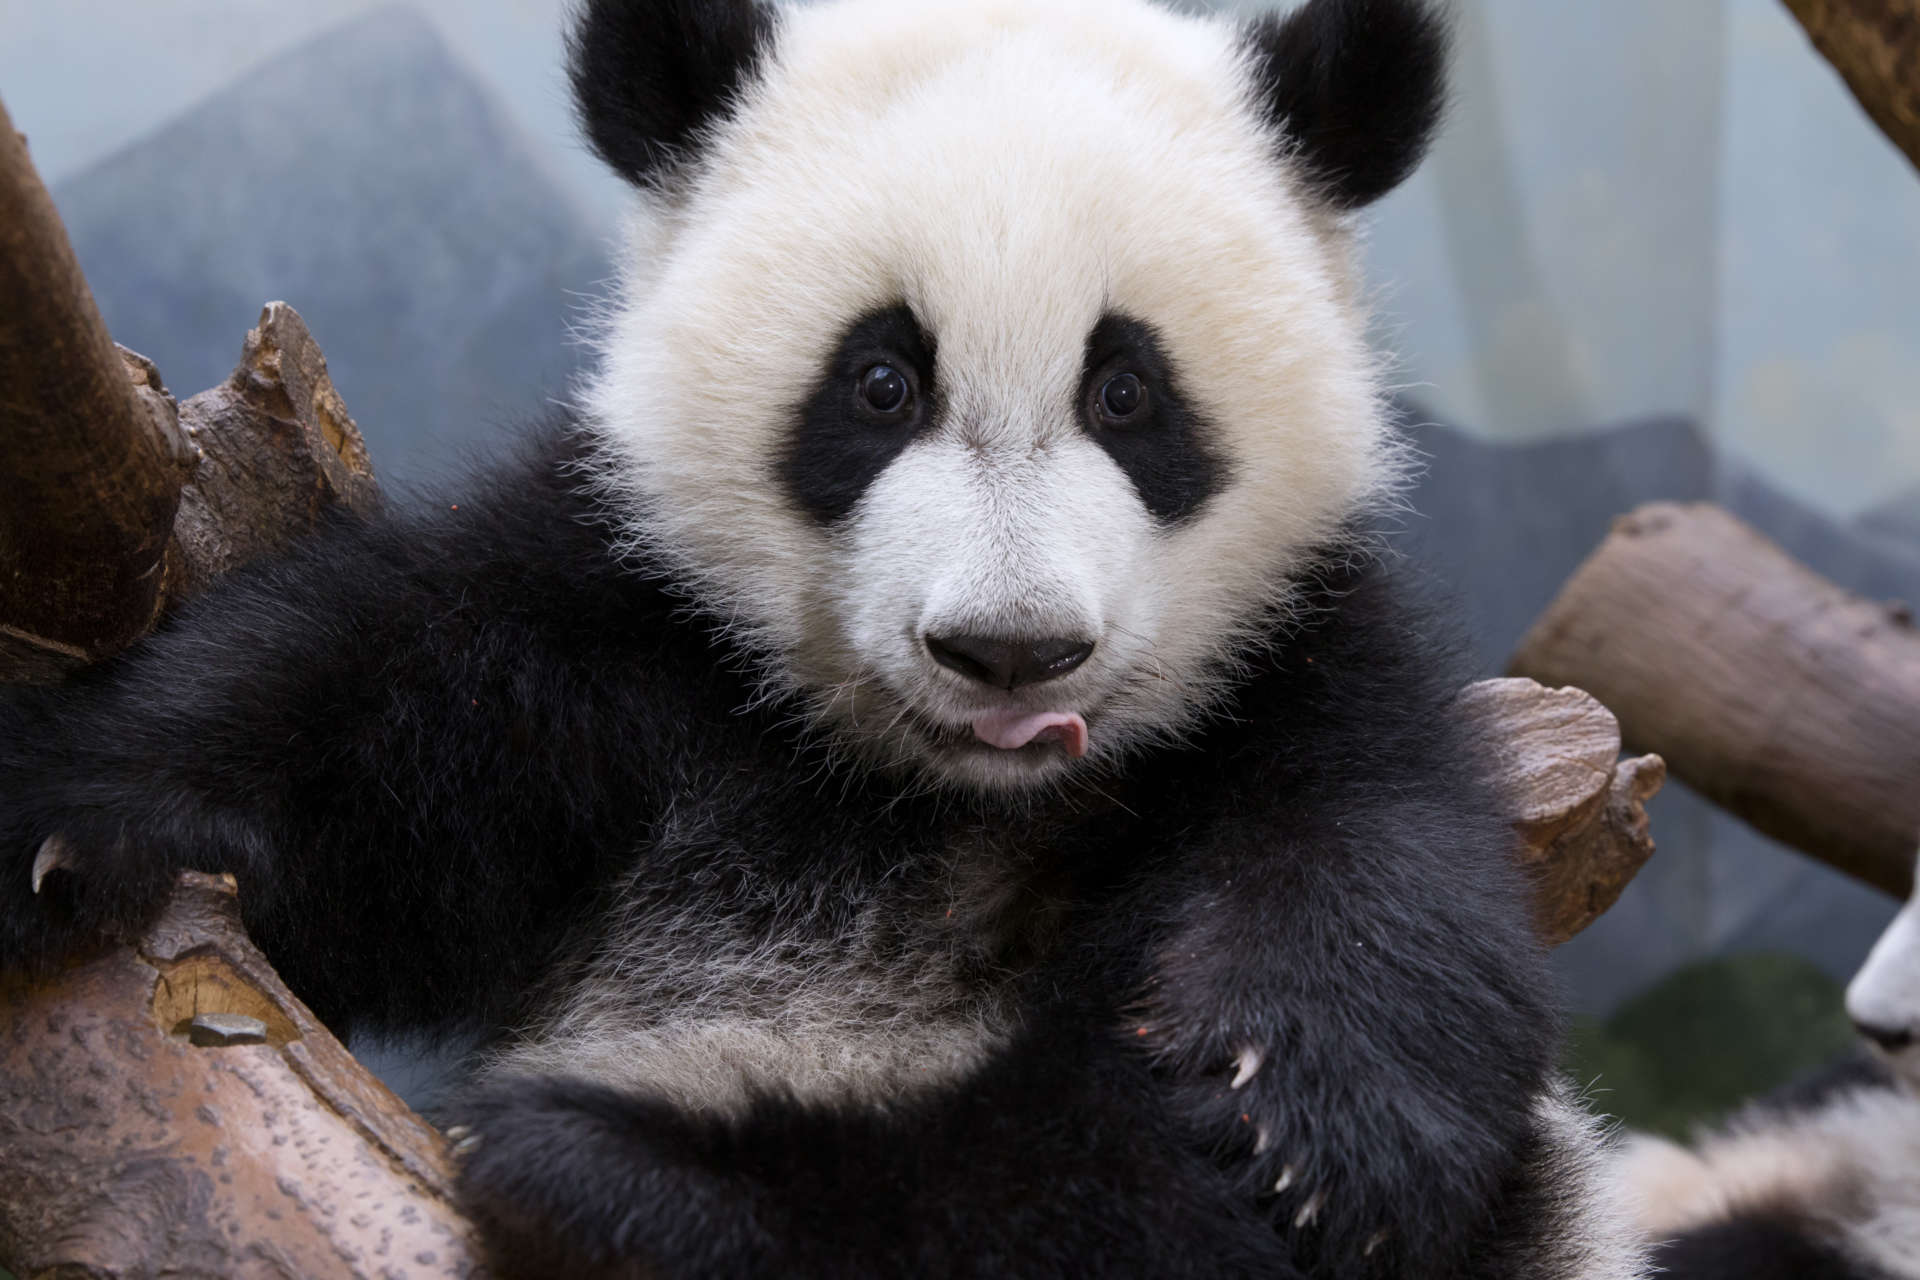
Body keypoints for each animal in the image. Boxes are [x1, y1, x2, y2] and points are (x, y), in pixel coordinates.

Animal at [1, 0, 1644, 1276]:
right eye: (880, 382)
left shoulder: (1304, 683)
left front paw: (1285, 1112)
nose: (1008, 651)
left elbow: (1319, 1031)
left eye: (1129, 395)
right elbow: (364, 711)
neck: (921, 795)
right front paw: (75, 821)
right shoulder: (628, 625)